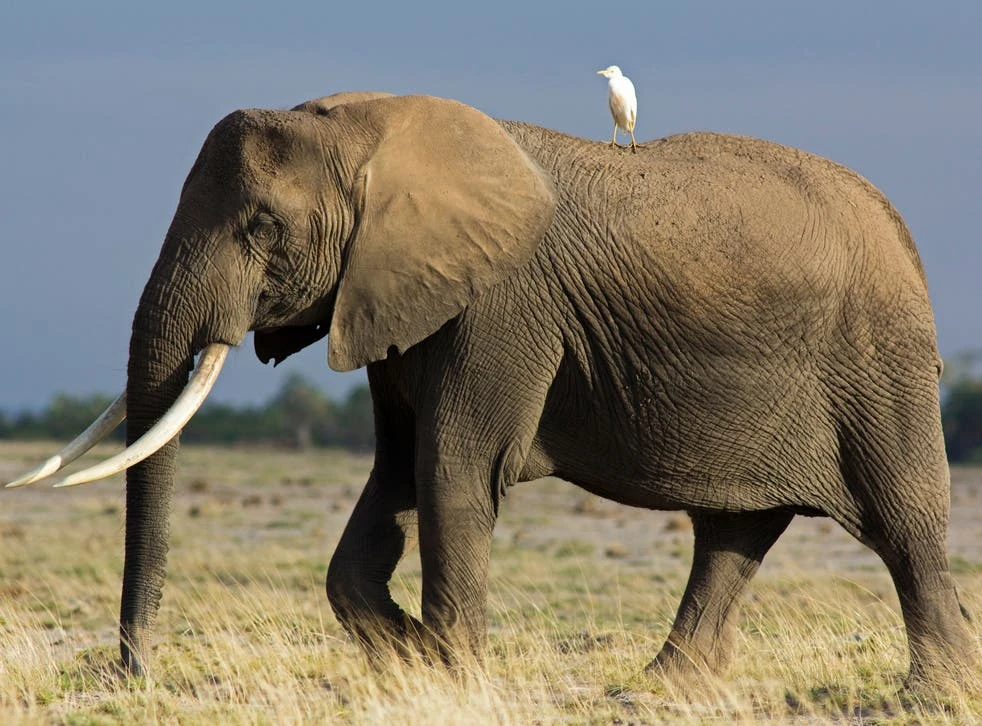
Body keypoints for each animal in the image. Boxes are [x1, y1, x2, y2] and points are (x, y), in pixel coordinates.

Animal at [7, 90, 977, 692]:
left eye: (262, 228)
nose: (132, 674)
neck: (371, 128)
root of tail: (901, 228)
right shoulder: (396, 300)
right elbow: (395, 479)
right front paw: (414, 658)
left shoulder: (502, 307)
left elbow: (453, 473)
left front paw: (451, 672)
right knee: (734, 533)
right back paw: (659, 690)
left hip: (877, 362)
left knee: (904, 520)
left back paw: (928, 694)